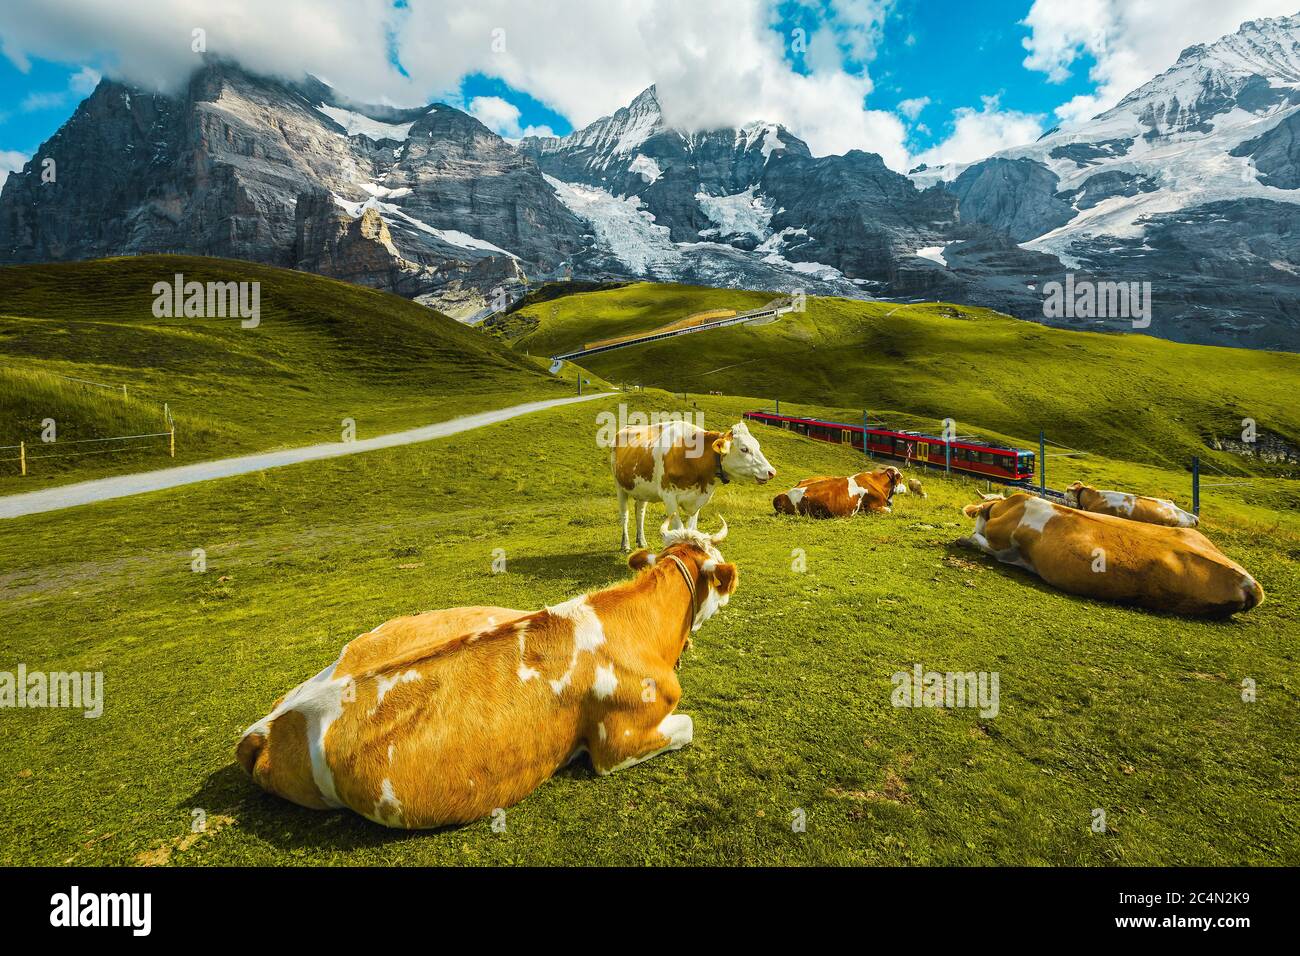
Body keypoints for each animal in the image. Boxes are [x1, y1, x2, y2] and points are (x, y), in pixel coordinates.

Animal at [611, 419, 774, 550]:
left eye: (757, 446)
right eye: (744, 449)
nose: (771, 472)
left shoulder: (697, 501)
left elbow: (691, 528)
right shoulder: (669, 497)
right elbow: (679, 528)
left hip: (642, 490)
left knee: (640, 513)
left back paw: (642, 542)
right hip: (619, 486)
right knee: (625, 514)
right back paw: (625, 545)